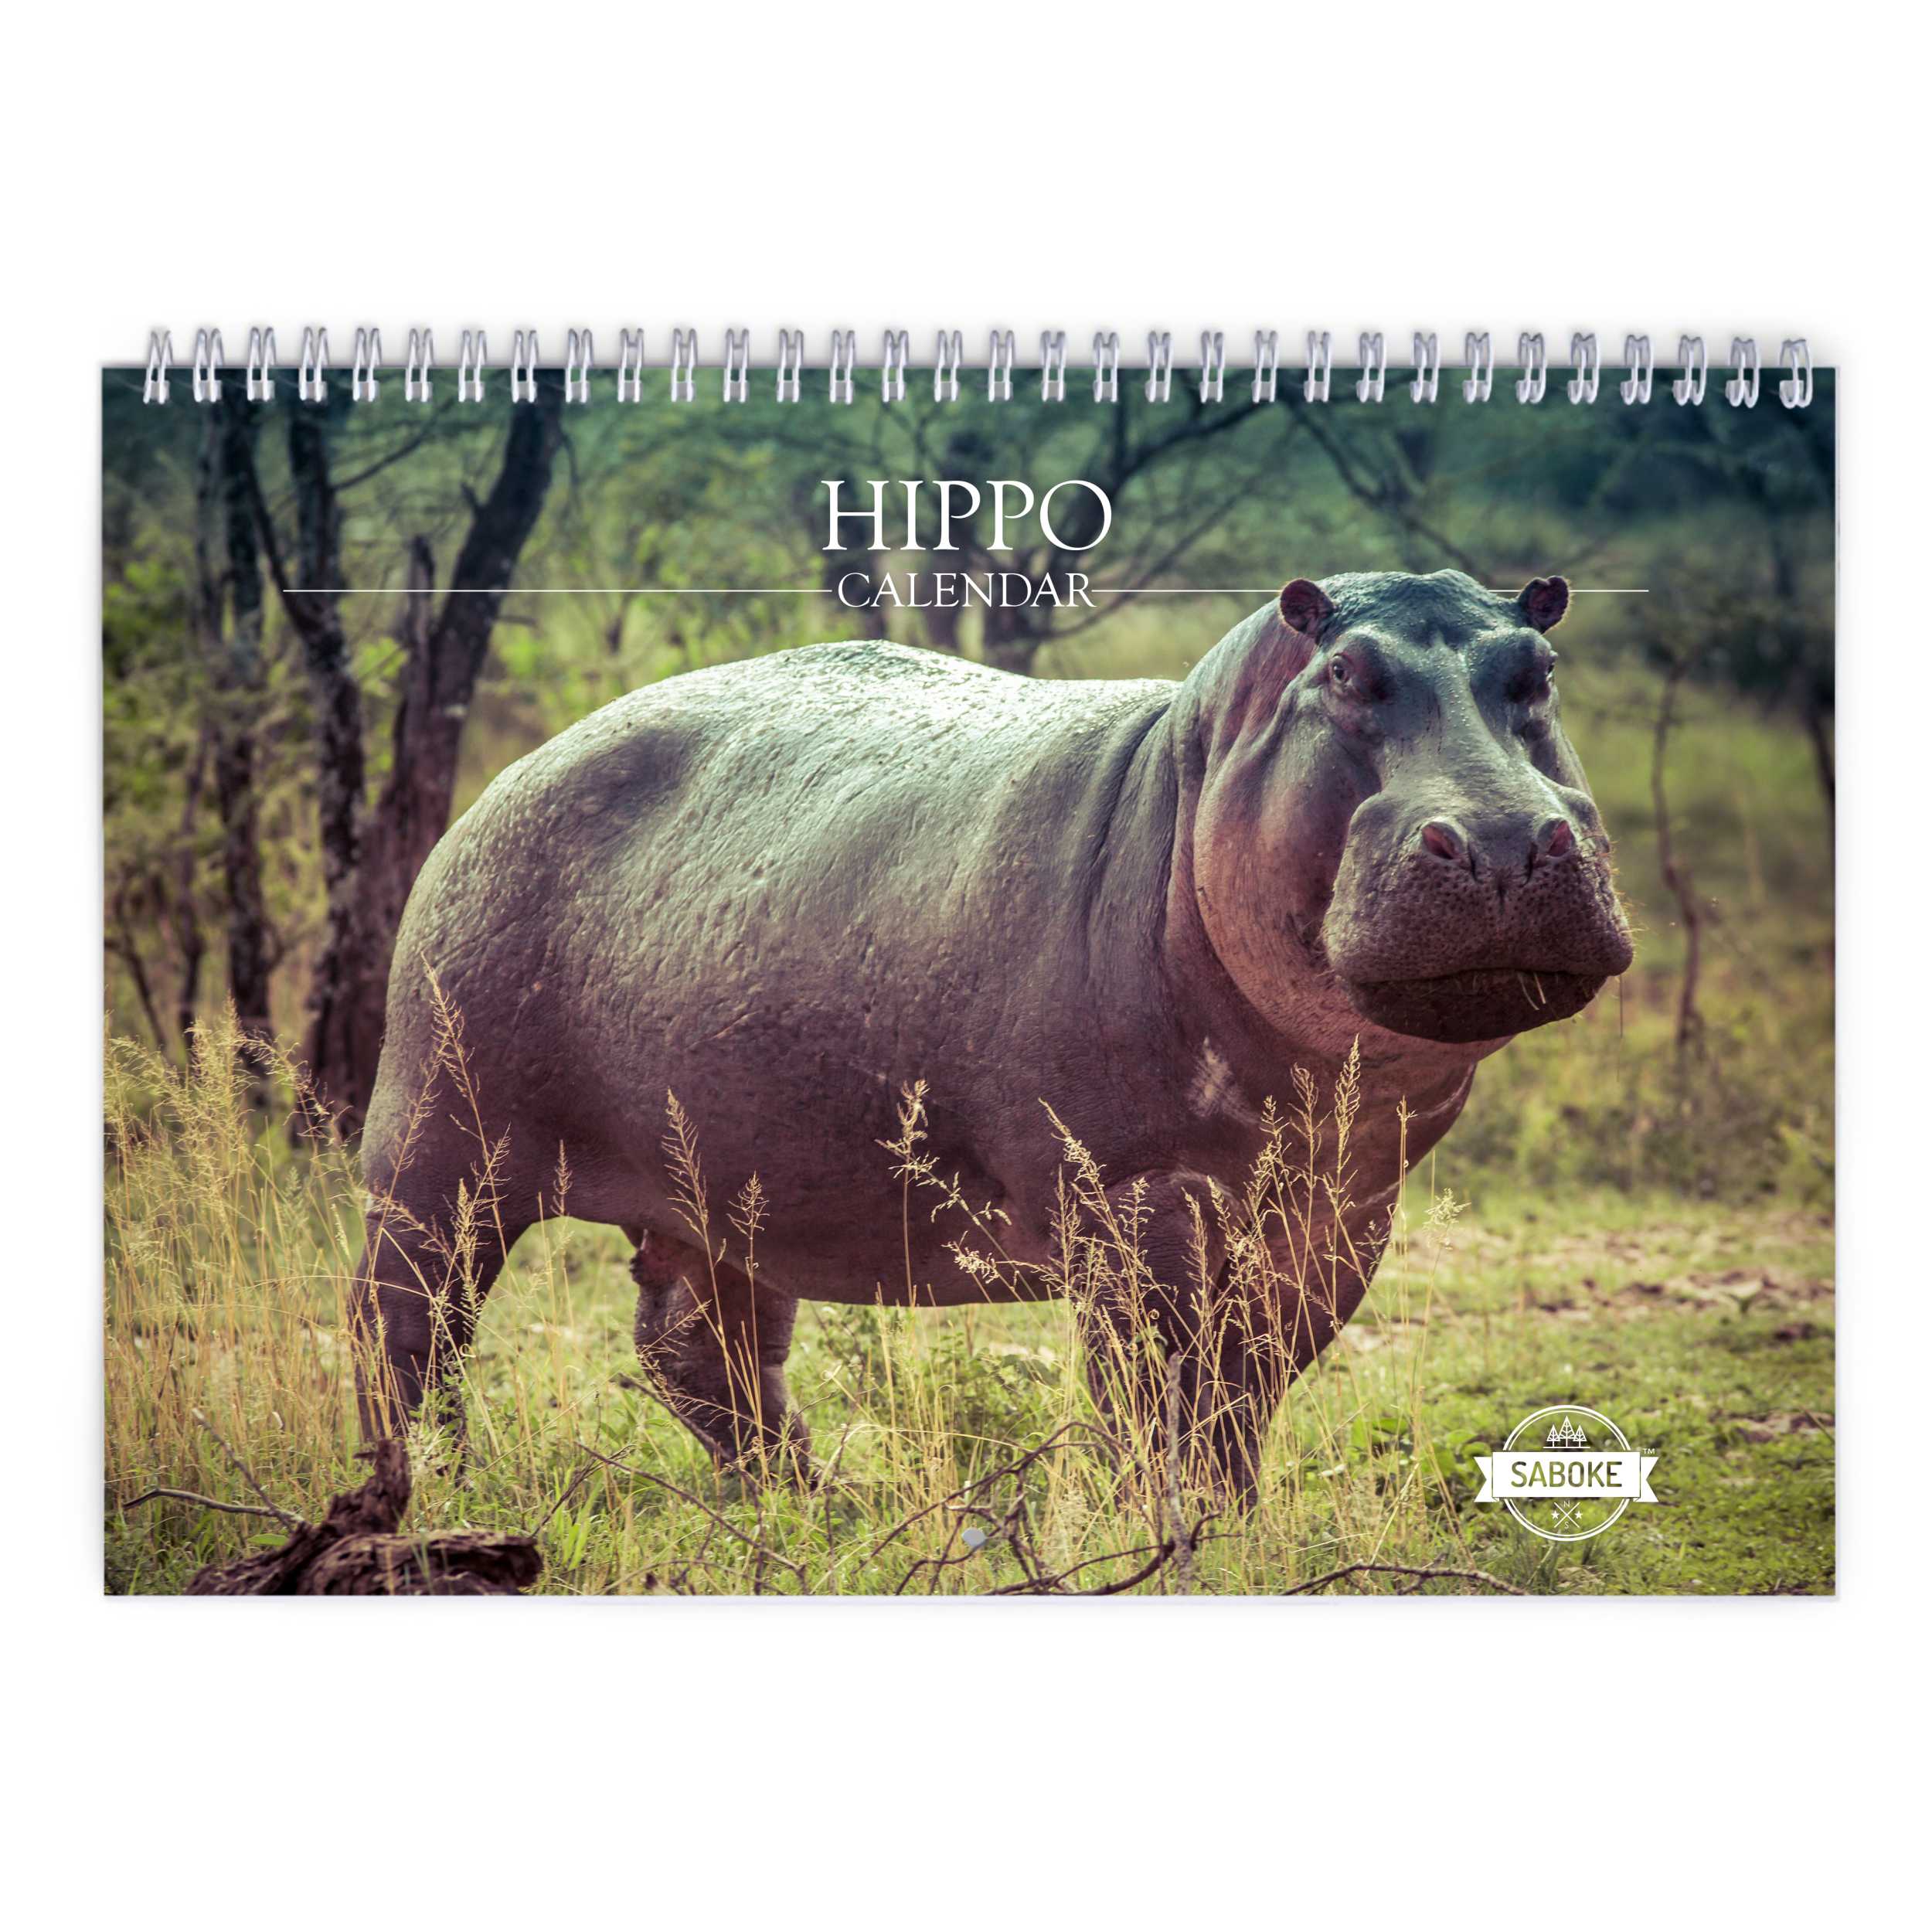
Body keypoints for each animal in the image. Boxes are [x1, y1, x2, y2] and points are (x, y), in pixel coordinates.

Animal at [354, 567, 1633, 1500]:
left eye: (1540, 673)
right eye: (1348, 673)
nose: (1505, 838)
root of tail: (517, 769)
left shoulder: (1342, 1212)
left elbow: (1242, 1399)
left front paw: (1232, 1525)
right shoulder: (1134, 1203)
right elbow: (1157, 1399)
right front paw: (1169, 1537)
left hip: (718, 1186)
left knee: (701, 1351)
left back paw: (818, 1508)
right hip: (440, 1142)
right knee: (404, 1327)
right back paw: (423, 1495)